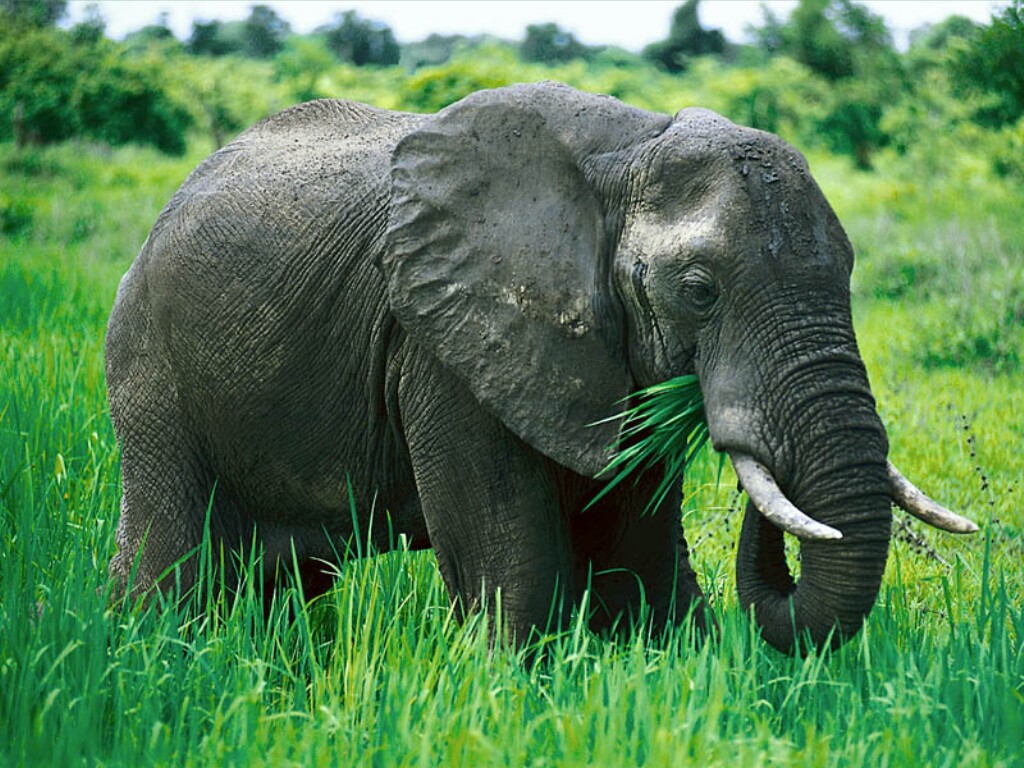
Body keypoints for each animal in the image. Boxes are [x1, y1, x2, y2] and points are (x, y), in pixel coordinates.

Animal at [105, 82, 976, 653]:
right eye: (699, 292)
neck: (629, 153)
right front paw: (510, 685)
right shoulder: (443, 342)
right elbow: (510, 555)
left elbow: (636, 542)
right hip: (151, 370)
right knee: (169, 559)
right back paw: (145, 657)